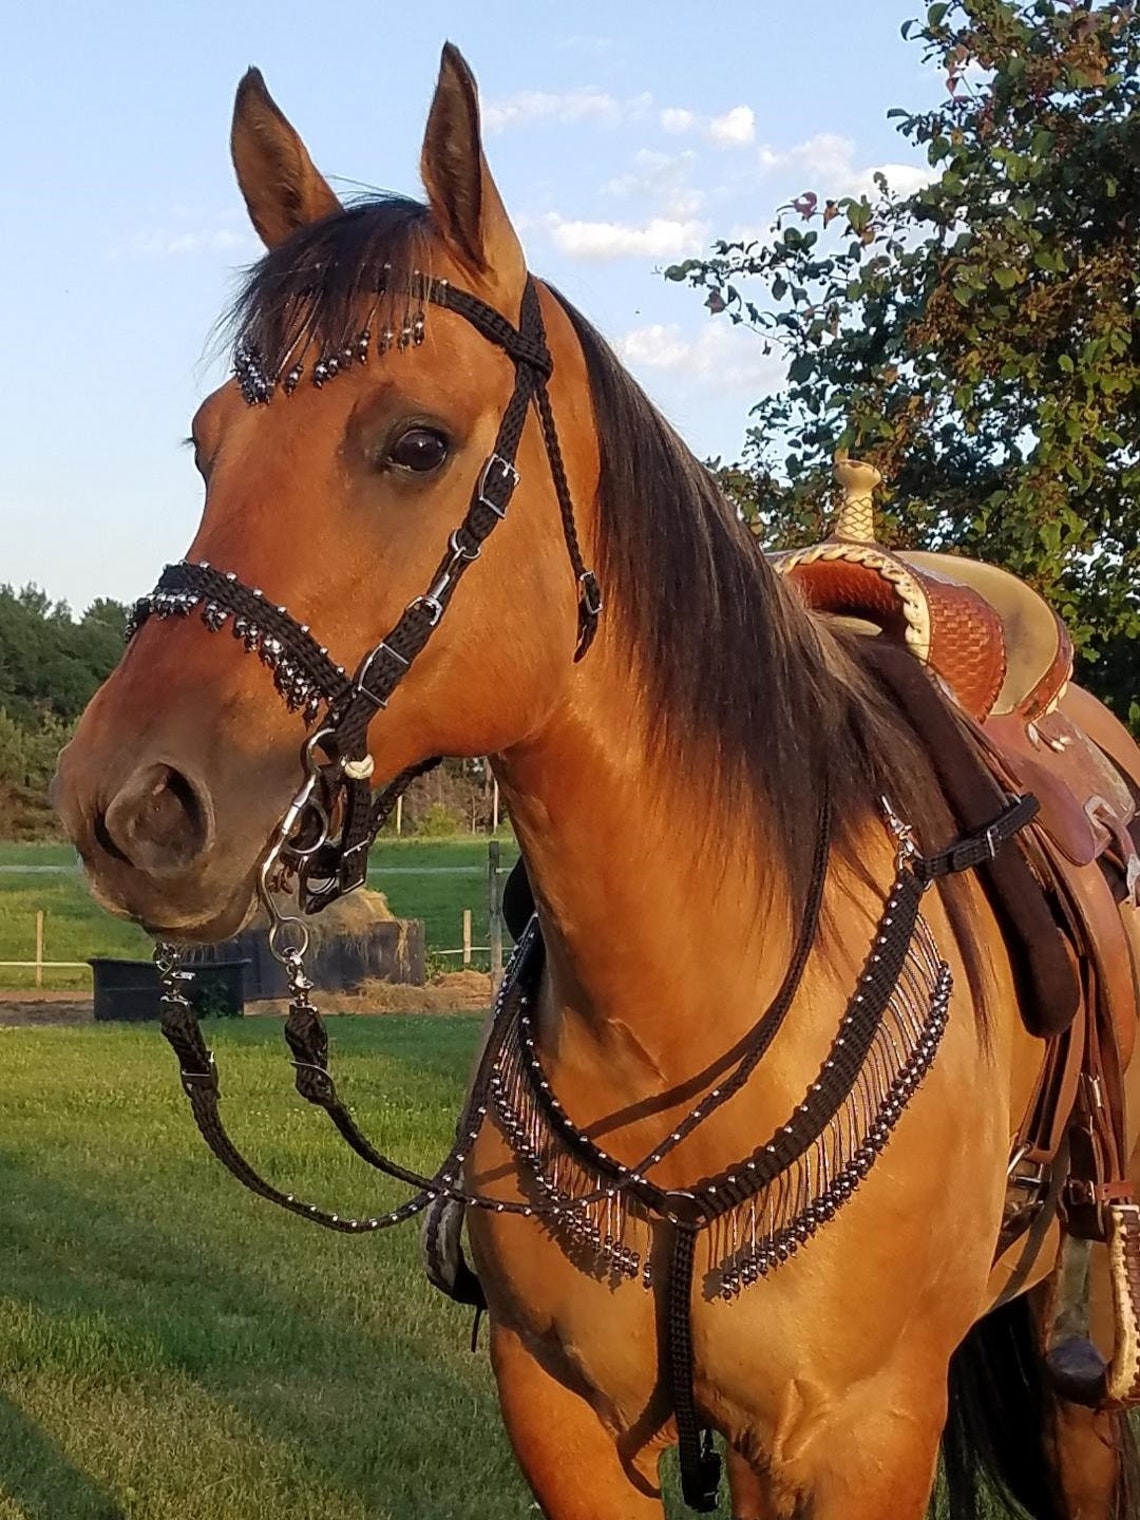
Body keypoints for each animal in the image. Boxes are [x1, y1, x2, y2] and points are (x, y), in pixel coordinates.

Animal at [53, 44, 1140, 1519]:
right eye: (207, 442)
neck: (685, 1018)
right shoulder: (565, 1418)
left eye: (414, 442)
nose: (126, 803)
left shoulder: (859, 1438)